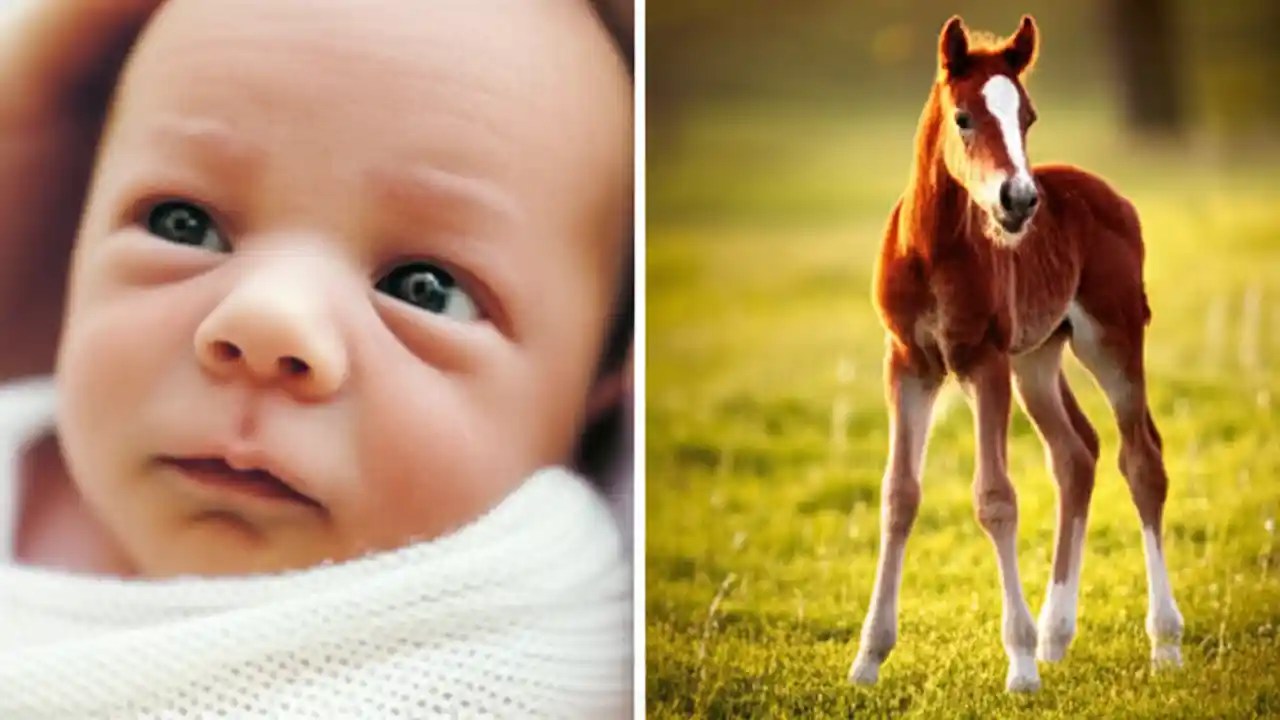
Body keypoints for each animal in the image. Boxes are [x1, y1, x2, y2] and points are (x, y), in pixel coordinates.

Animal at [847, 15, 1184, 692]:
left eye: (1027, 116)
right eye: (963, 117)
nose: (1020, 200)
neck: (932, 251)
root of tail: (1111, 195)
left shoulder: (984, 362)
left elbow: (996, 498)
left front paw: (1020, 663)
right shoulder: (909, 363)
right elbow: (898, 495)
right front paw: (868, 658)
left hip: (1110, 338)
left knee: (1142, 460)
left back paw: (1163, 641)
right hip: (1039, 358)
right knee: (1076, 454)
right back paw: (1058, 635)